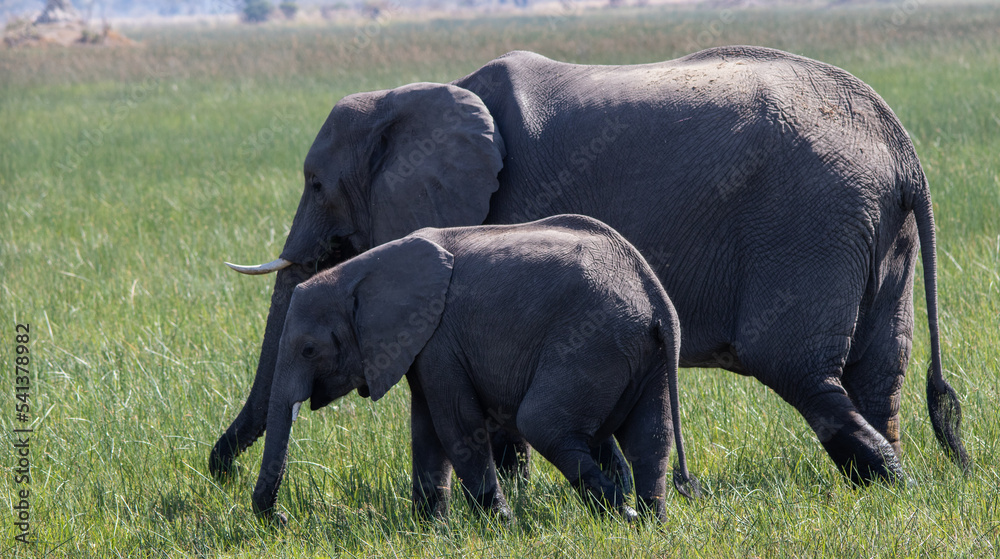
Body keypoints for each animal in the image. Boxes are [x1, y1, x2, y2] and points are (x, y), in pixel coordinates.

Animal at [213, 45, 969, 489]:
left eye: (315, 184)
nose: (215, 473)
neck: (415, 93)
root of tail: (902, 150)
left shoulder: (509, 202)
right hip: (877, 231)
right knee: (879, 370)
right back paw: (886, 488)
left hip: (810, 221)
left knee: (794, 365)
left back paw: (892, 484)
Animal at [251, 215, 699, 524]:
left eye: (309, 349)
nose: (282, 518)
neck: (358, 271)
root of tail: (657, 300)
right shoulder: (423, 345)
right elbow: (426, 427)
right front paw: (430, 529)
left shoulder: (439, 338)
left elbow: (456, 426)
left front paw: (500, 525)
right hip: (639, 351)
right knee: (649, 437)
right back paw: (648, 521)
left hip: (592, 342)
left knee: (541, 423)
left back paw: (623, 515)